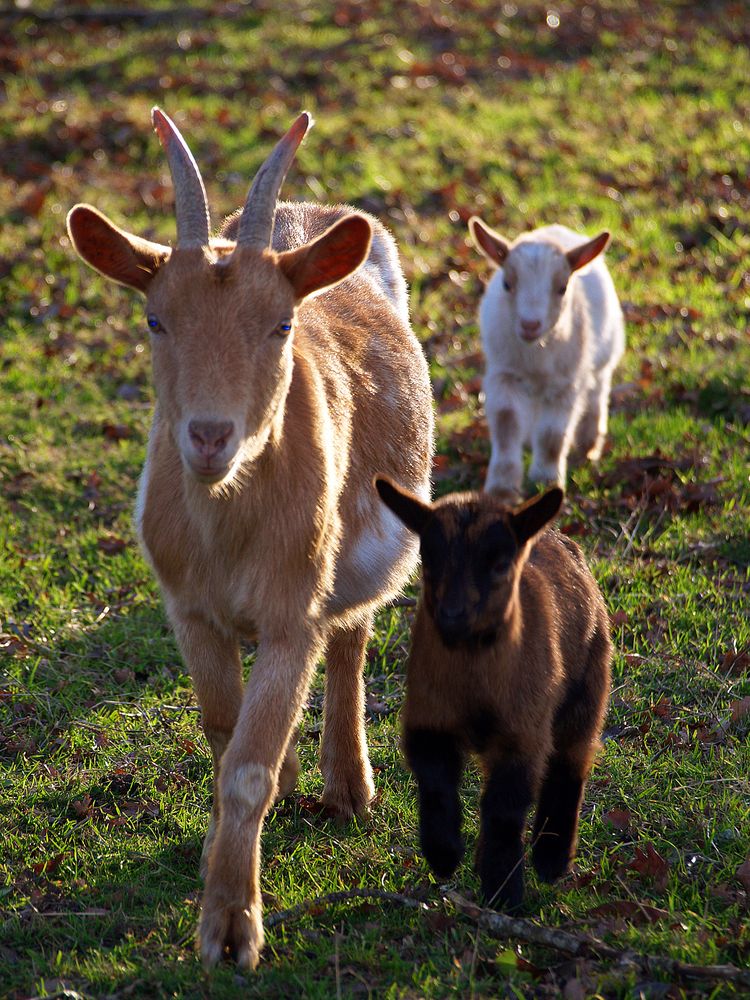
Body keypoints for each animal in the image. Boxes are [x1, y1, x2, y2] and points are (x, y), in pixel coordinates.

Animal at [67, 108, 433, 968]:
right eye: (155, 319)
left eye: (281, 324)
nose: (208, 436)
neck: (230, 527)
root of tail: (312, 212)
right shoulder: (189, 611)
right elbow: (224, 733)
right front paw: (217, 856)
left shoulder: (293, 614)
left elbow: (249, 767)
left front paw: (231, 927)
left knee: (352, 639)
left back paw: (348, 785)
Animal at [375, 478, 611, 909]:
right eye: (427, 558)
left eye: (500, 564)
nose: (452, 617)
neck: (477, 688)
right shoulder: (427, 716)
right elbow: (436, 784)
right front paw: (444, 854)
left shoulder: (524, 732)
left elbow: (504, 810)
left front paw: (504, 891)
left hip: (587, 690)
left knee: (570, 766)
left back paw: (551, 859)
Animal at [469, 219, 625, 500]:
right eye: (507, 284)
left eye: (562, 288)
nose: (530, 324)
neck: (536, 357)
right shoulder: (503, 374)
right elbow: (507, 422)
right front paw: (502, 490)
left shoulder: (566, 384)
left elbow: (553, 435)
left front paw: (546, 481)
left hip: (604, 356)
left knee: (597, 393)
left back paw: (588, 444)